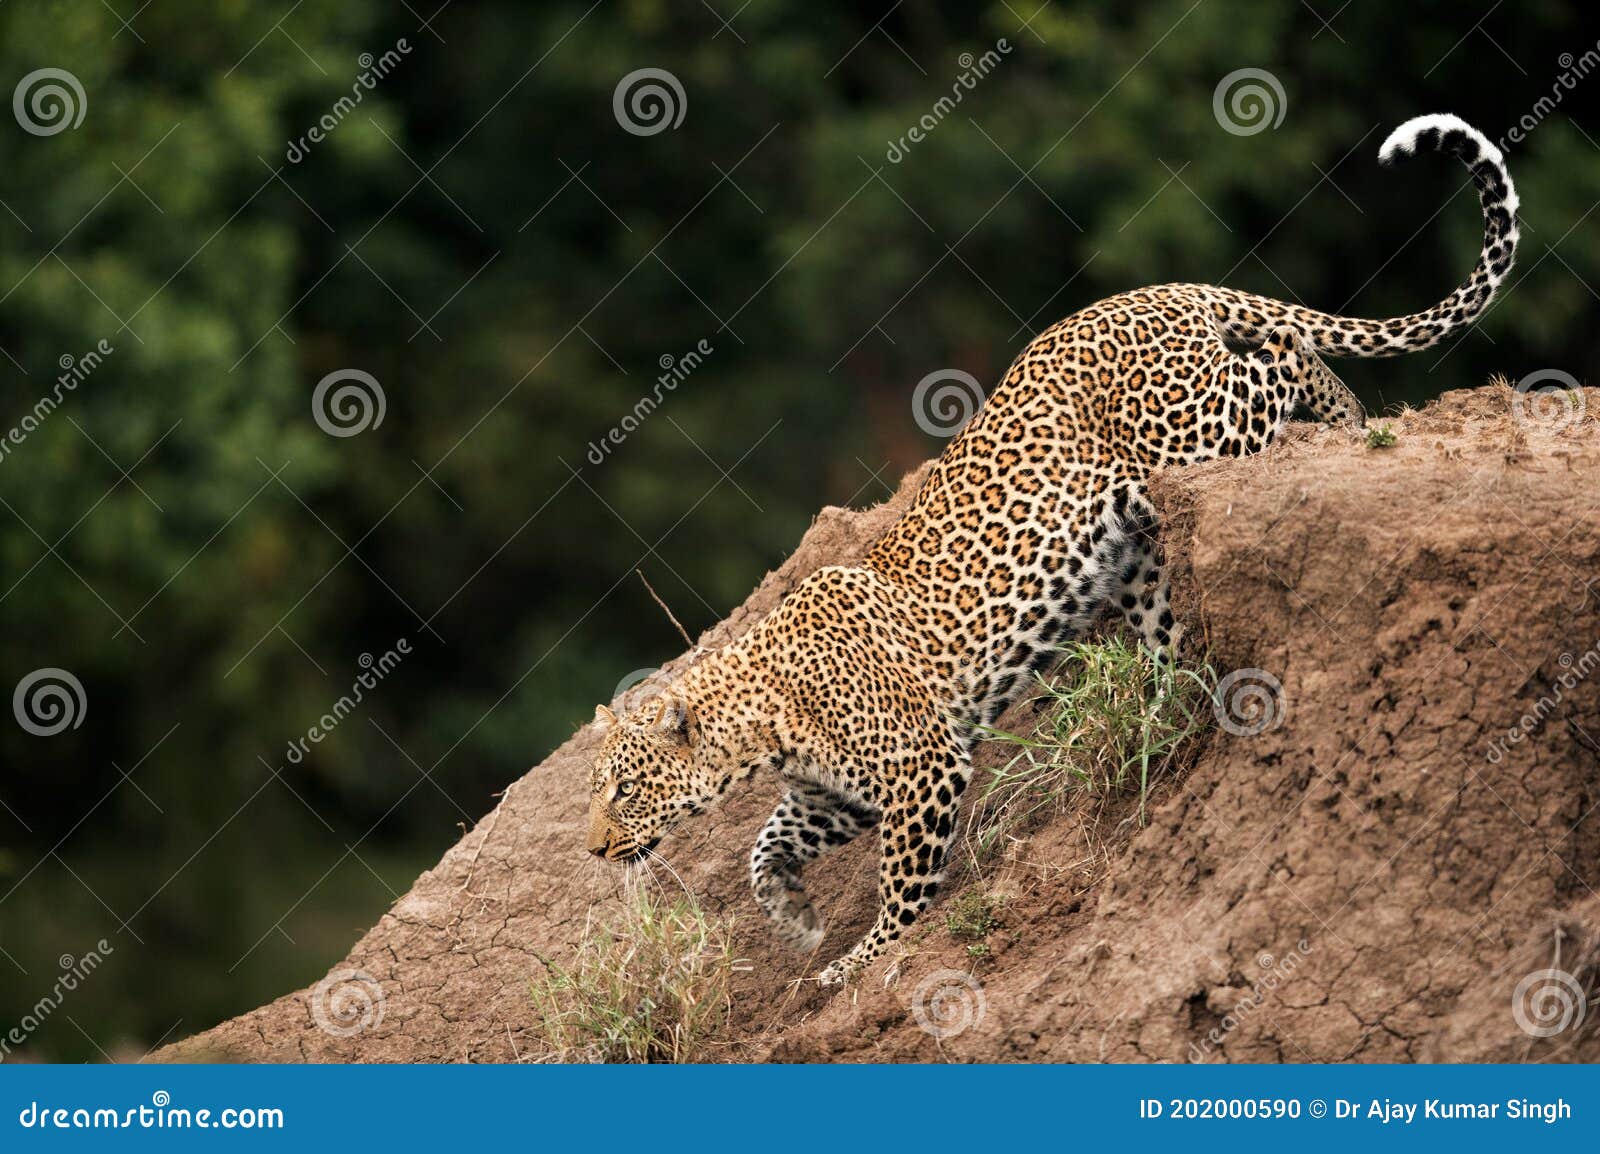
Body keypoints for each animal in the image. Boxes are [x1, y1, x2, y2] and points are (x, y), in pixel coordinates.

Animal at [585, 113, 1519, 986]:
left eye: (623, 788)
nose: (593, 850)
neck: (762, 718)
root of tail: (1161, 291)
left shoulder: (923, 769)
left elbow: (899, 888)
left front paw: (862, 961)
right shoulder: (835, 797)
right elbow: (763, 847)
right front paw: (793, 915)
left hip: (1203, 429)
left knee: (1284, 353)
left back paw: (1341, 417)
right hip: (1140, 556)